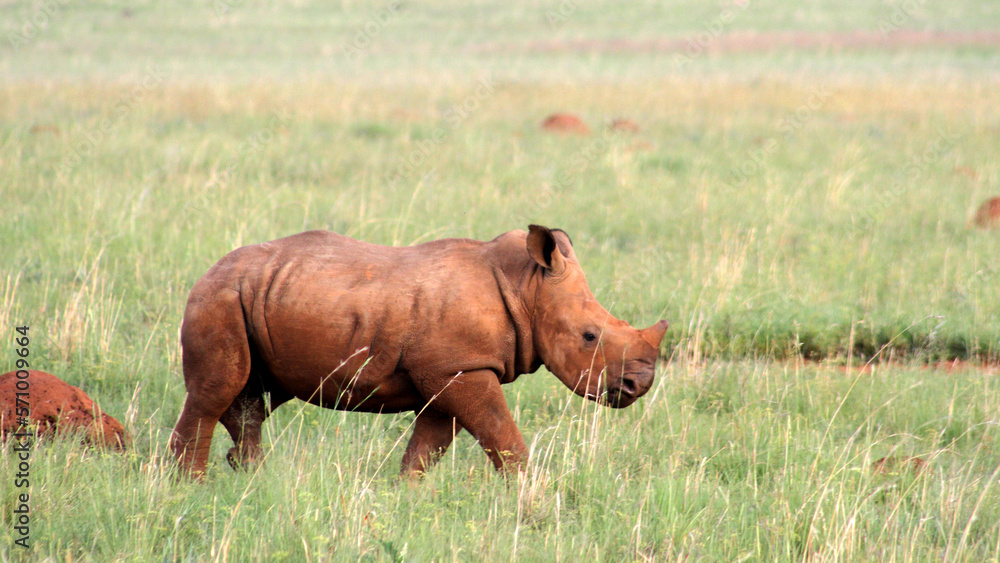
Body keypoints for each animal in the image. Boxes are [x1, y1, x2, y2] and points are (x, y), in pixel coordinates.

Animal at [170, 225, 668, 477]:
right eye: (589, 336)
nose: (638, 385)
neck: (527, 287)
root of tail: (209, 269)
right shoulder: (461, 369)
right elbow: (503, 437)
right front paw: (529, 495)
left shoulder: (452, 370)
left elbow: (428, 448)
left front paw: (408, 496)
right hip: (219, 297)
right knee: (217, 391)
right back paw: (192, 485)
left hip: (252, 295)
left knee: (252, 400)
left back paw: (249, 475)